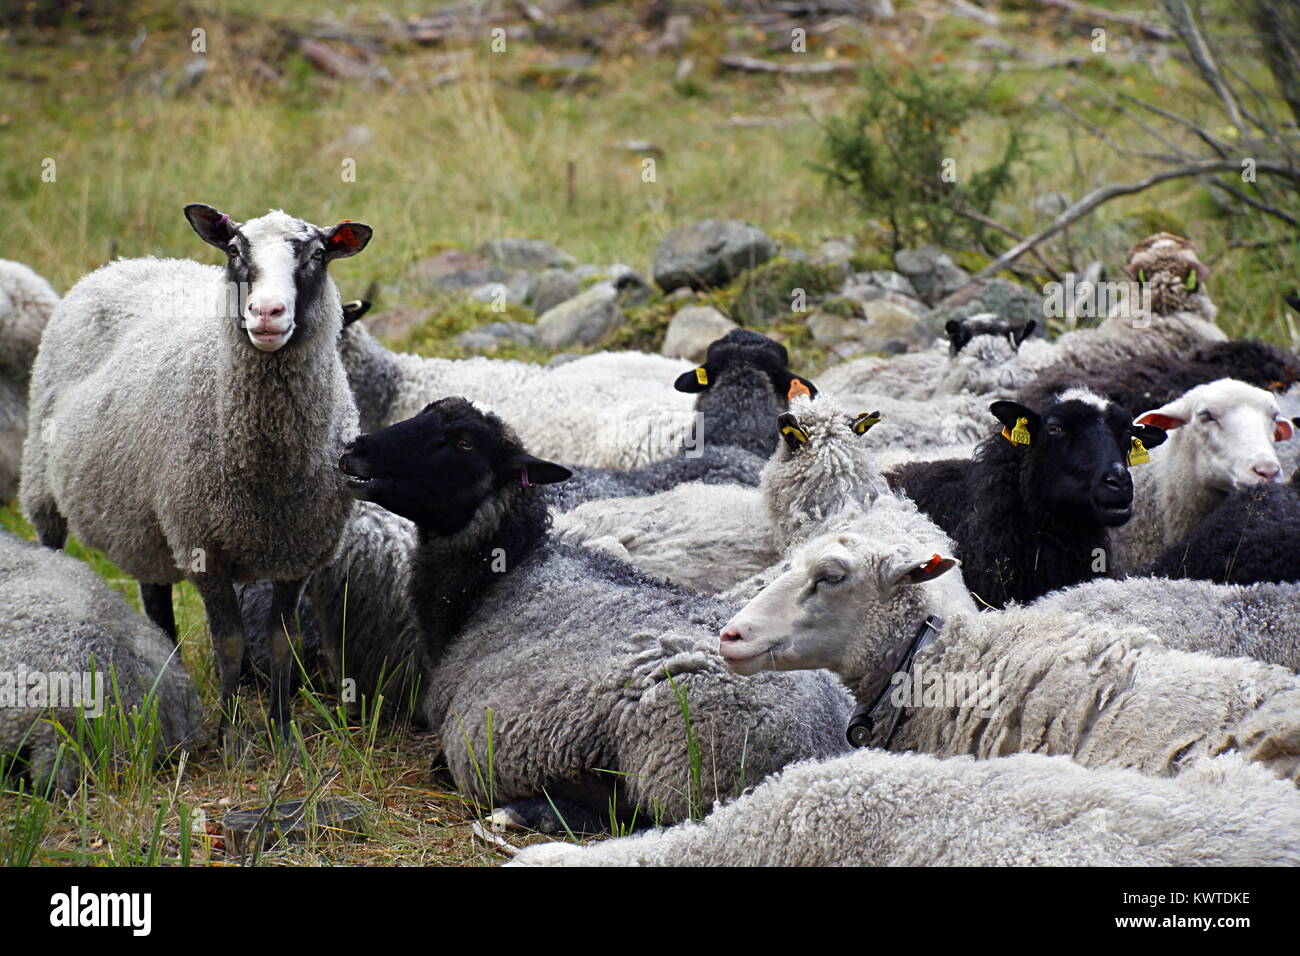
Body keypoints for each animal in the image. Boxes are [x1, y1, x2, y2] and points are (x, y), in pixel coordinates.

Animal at [20, 204, 370, 746]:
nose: (266, 313)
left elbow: (281, 642)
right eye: (235, 251)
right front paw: (228, 736)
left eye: (317, 255)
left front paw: (283, 734)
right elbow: (229, 643)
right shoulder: (203, 547)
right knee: (56, 542)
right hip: (43, 478)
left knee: (155, 600)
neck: (268, 471)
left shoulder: (300, 551)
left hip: (141, 520)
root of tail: (128, 262)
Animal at [335, 397, 855, 832]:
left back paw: (532, 809)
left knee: (642, 817)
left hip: (677, 762)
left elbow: (440, 765)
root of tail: (820, 743)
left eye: (463, 442)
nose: (354, 450)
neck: (499, 575)